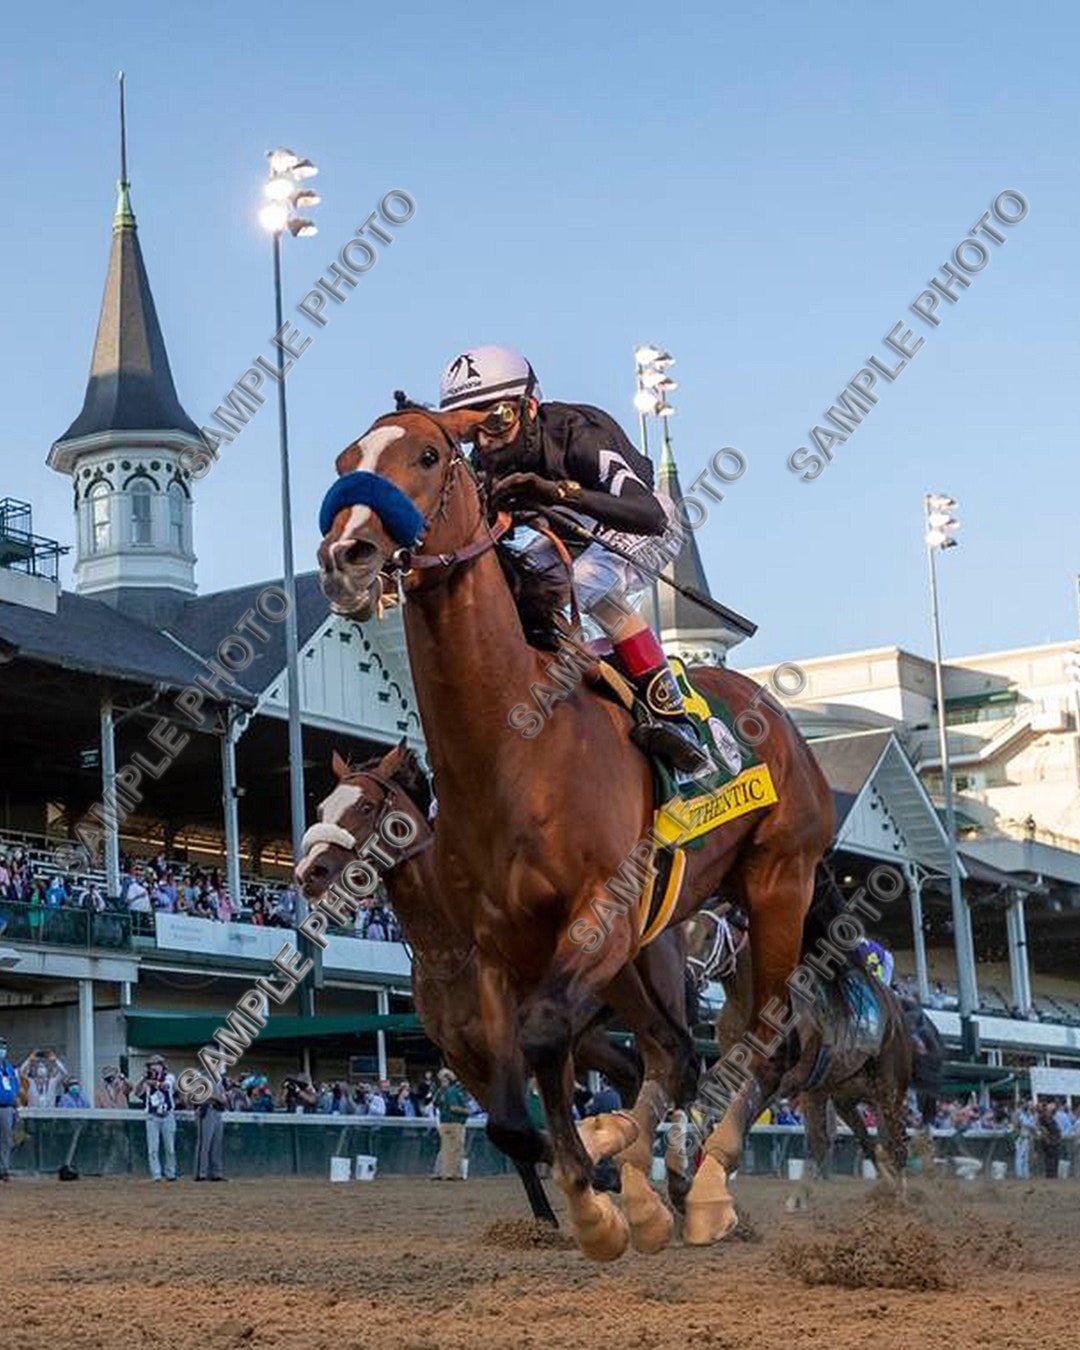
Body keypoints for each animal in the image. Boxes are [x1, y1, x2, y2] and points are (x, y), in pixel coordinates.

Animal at [294, 739, 656, 1225]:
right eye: (321, 807)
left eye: (366, 806)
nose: (309, 872)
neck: (452, 952)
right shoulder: (466, 1061)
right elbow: (513, 1136)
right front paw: (547, 1221)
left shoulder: (539, 1048)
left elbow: (548, 1124)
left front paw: (595, 1176)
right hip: (591, 1036)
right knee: (631, 1068)